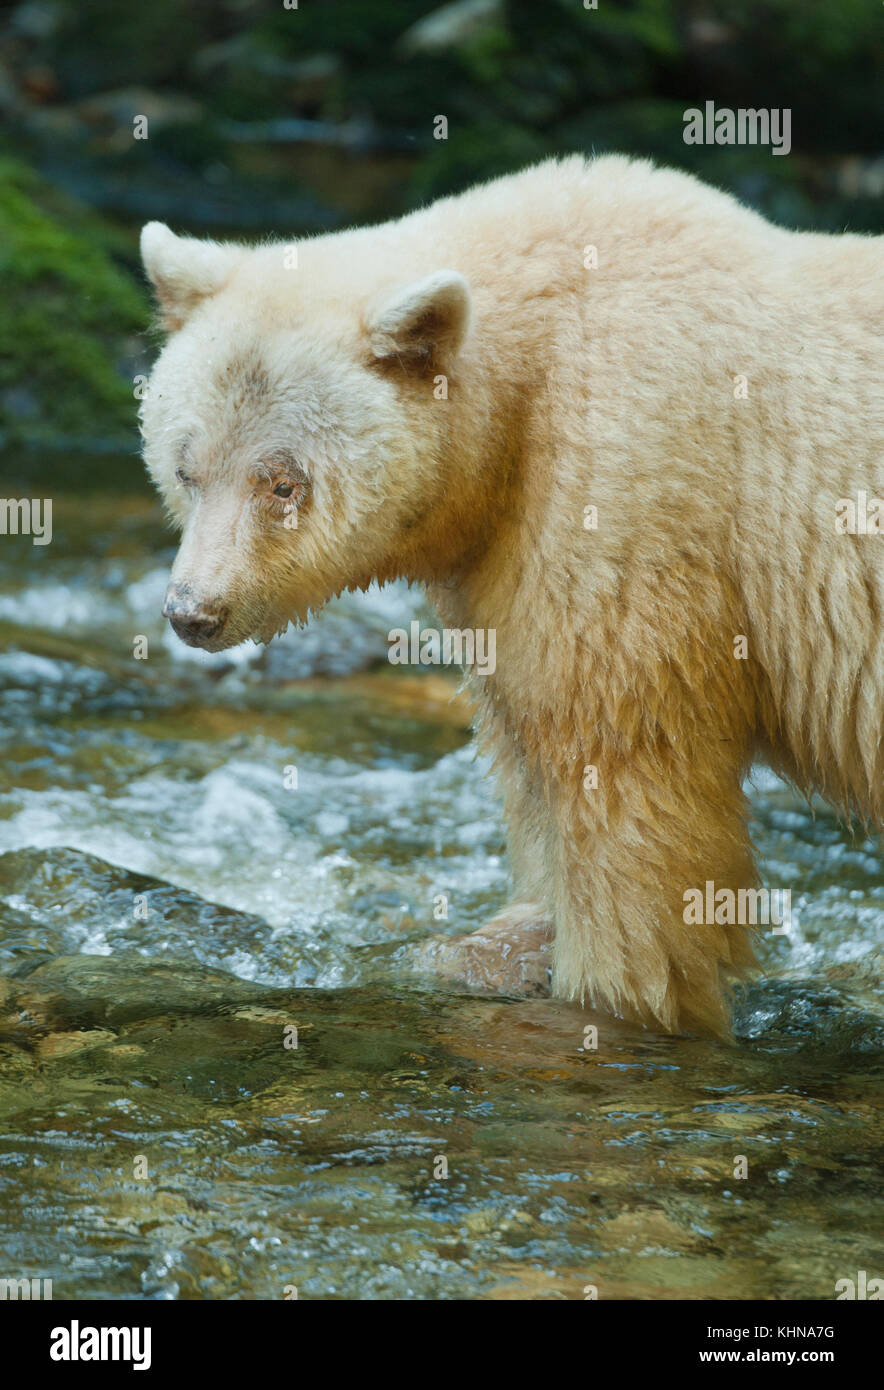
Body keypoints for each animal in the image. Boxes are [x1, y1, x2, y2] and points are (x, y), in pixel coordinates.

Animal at [139, 154, 884, 1038]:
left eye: (283, 483)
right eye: (186, 466)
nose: (193, 611)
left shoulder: (621, 499)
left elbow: (625, 775)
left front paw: (617, 994)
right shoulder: (499, 563)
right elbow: (529, 753)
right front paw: (501, 945)